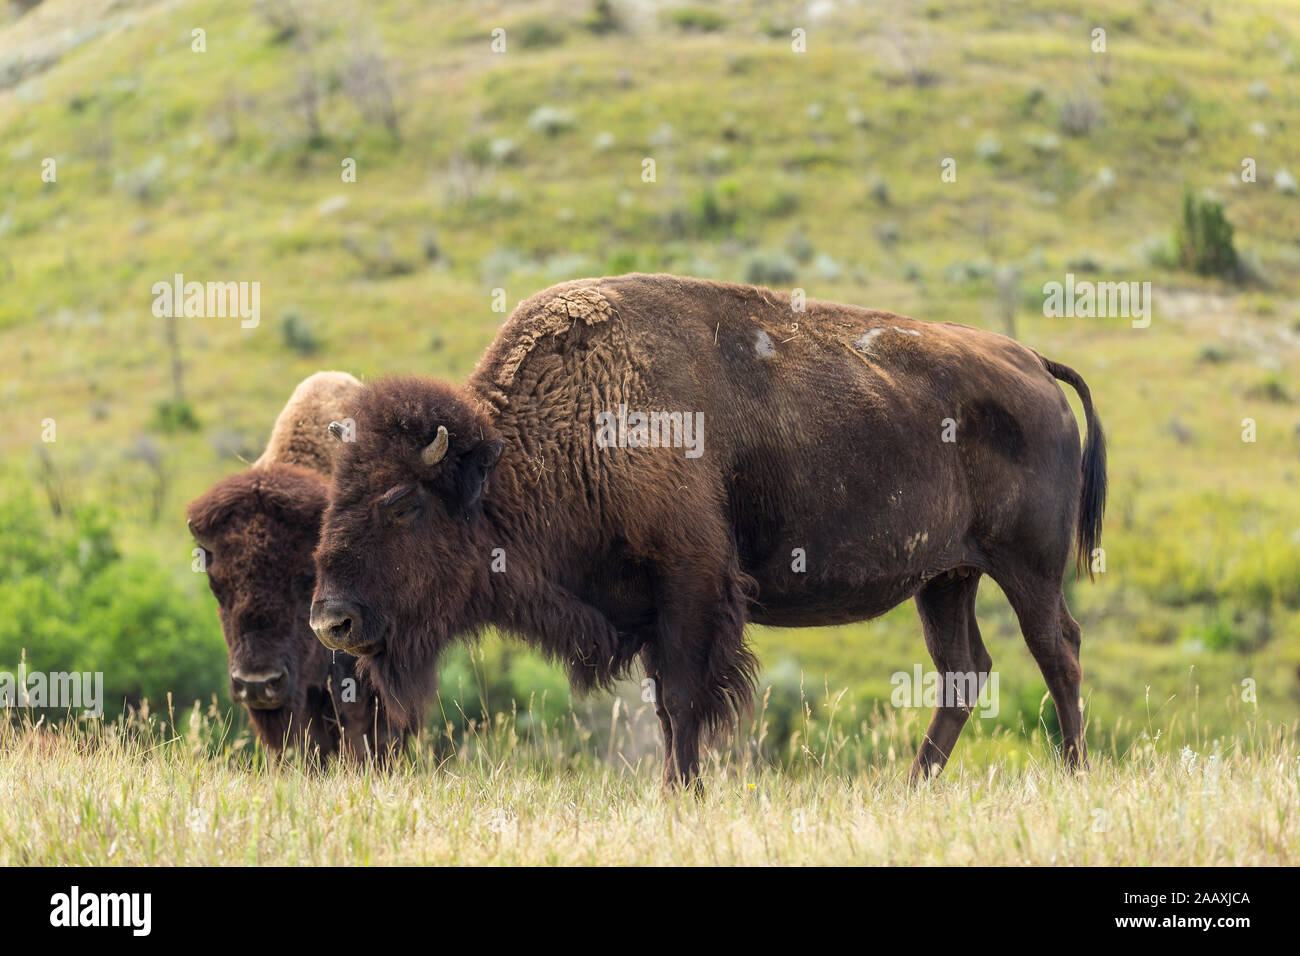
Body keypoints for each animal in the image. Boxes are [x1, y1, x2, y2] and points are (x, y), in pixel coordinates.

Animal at [310, 274, 1105, 787]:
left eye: (402, 503)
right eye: (335, 496)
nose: (331, 620)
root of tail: (1033, 364)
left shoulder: (690, 585)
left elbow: (686, 699)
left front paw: (680, 790)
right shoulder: (653, 610)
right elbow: (668, 704)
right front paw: (677, 786)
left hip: (1028, 567)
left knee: (1058, 651)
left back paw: (1074, 774)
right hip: (946, 578)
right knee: (963, 673)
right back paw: (913, 786)